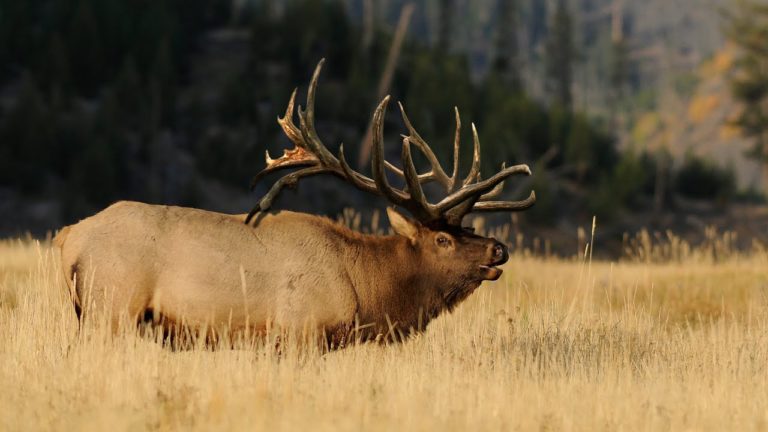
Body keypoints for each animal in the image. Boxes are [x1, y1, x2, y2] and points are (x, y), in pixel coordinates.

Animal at [55, 60, 536, 348]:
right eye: (442, 239)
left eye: (468, 228)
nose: (498, 249)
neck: (363, 286)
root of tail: (68, 237)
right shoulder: (300, 329)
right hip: (112, 305)